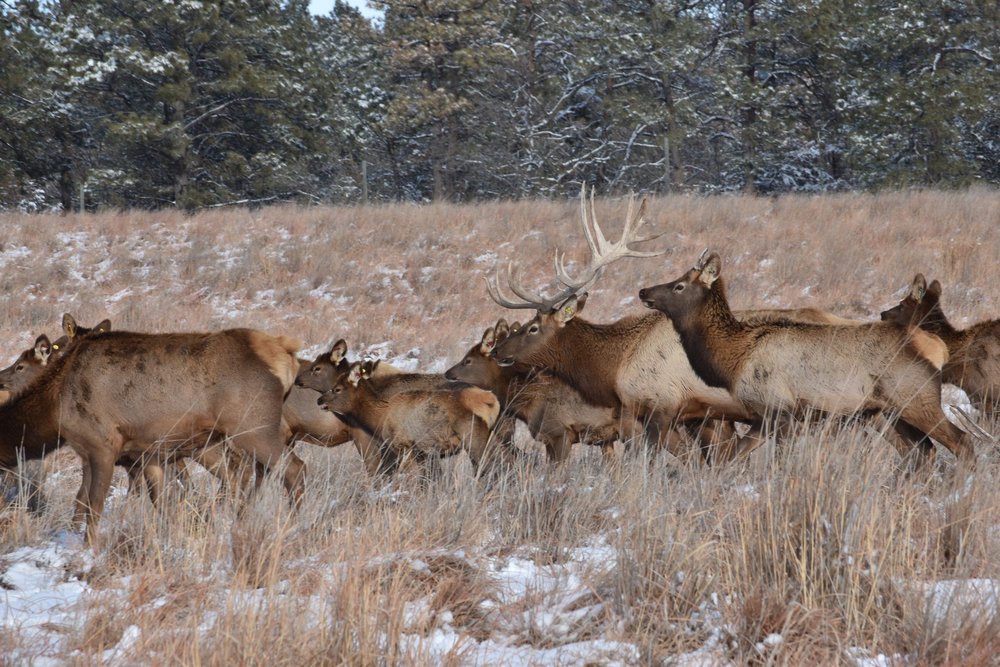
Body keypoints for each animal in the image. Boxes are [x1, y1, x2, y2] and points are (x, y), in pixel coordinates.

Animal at [0, 327, 306, 545]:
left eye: (19, 366)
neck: (55, 408)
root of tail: (285, 354)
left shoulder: (102, 445)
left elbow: (93, 503)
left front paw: (89, 547)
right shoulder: (147, 453)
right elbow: (160, 503)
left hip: (253, 427)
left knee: (294, 468)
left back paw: (298, 526)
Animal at [317, 360, 508, 474]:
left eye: (337, 388)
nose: (319, 400)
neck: (379, 416)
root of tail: (491, 400)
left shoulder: (405, 447)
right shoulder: (425, 453)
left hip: (474, 438)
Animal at [637, 252, 975, 468]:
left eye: (679, 285)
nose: (643, 291)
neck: (733, 358)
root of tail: (937, 349)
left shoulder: (781, 409)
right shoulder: (766, 415)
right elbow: (734, 455)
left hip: (917, 398)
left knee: (962, 442)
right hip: (888, 412)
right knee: (925, 451)